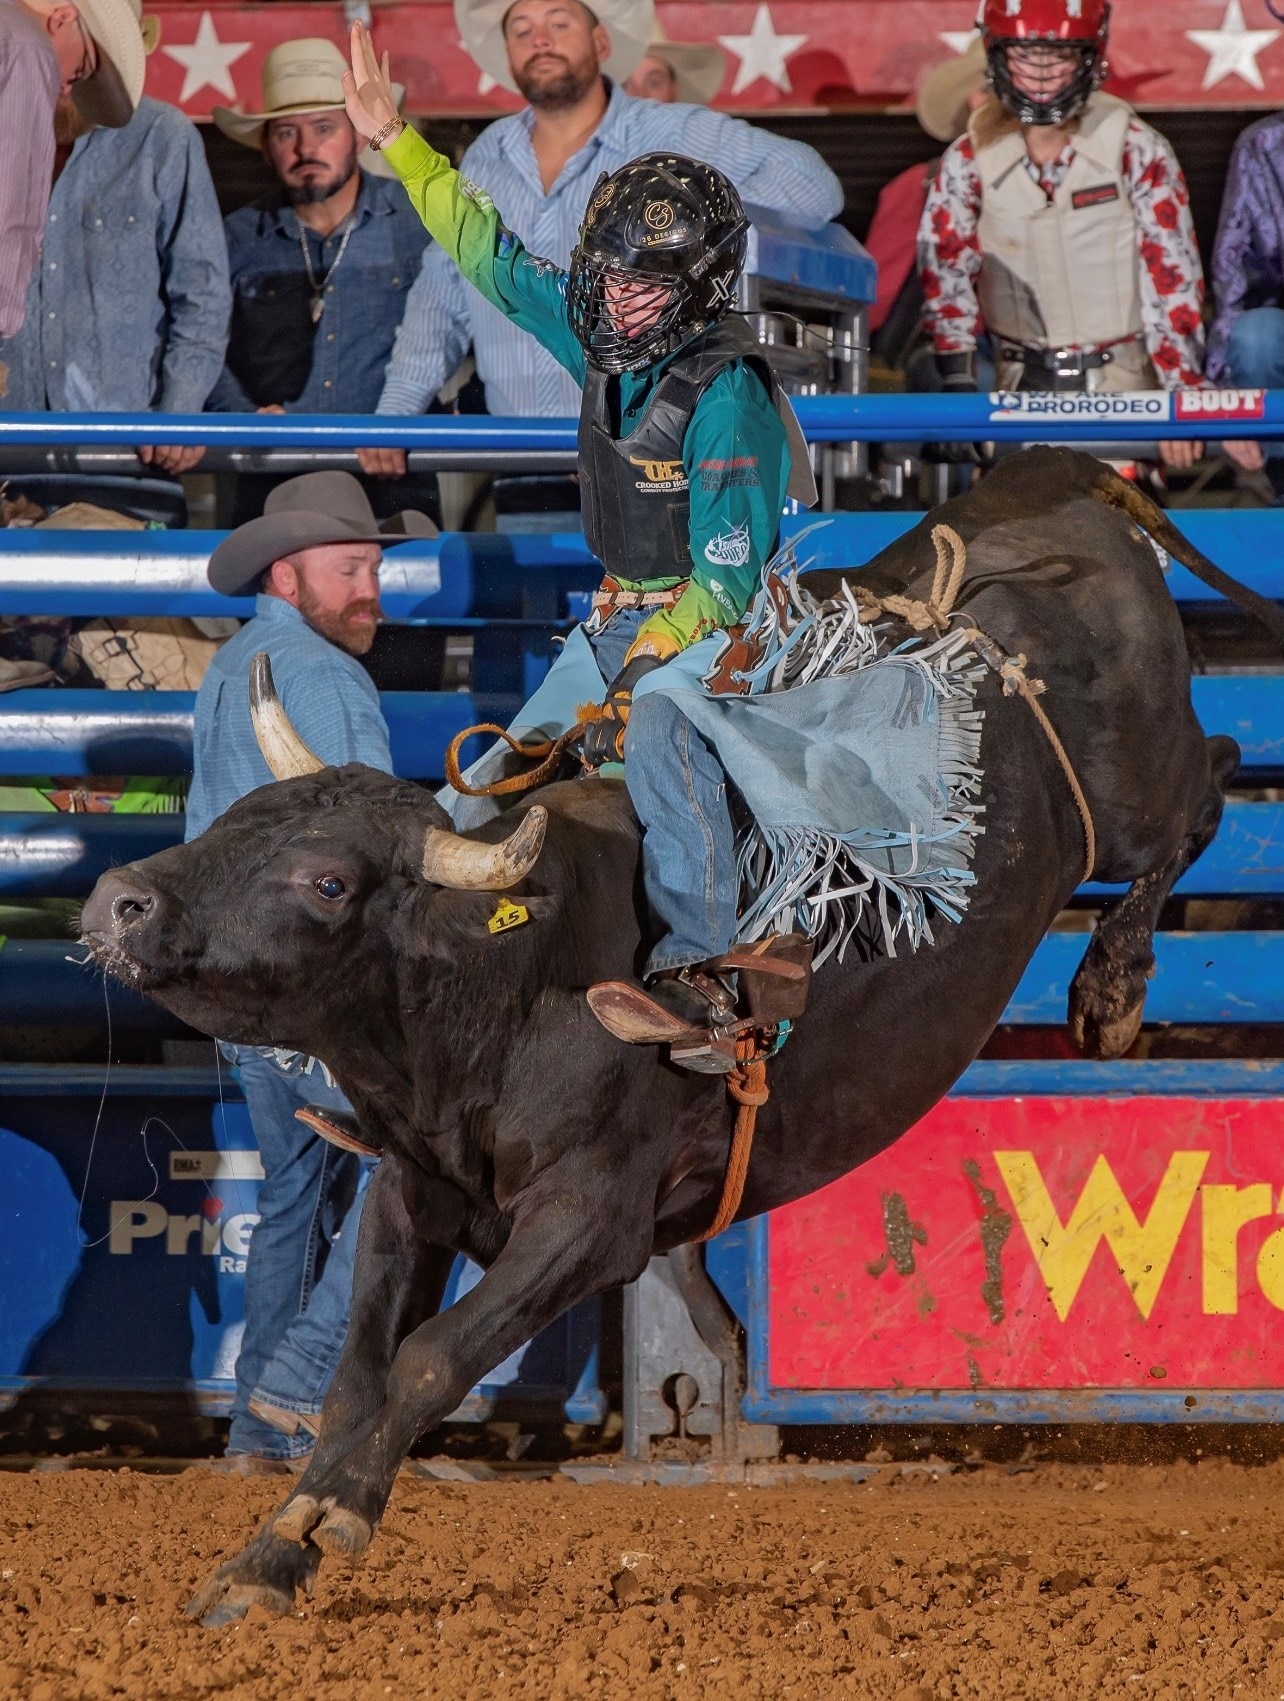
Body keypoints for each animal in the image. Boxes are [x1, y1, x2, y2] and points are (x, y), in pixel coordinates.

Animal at [82, 452, 1284, 1619]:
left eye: (328, 882)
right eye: (237, 820)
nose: (117, 900)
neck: (506, 986)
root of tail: (1060, 474)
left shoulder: (592, 1220)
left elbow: (429, 1361)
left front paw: (333, 1516)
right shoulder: (408, 1194)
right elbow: (356, 1376)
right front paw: (266, 1560)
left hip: (1131, 794)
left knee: (1211, 784)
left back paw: (1112, 988)